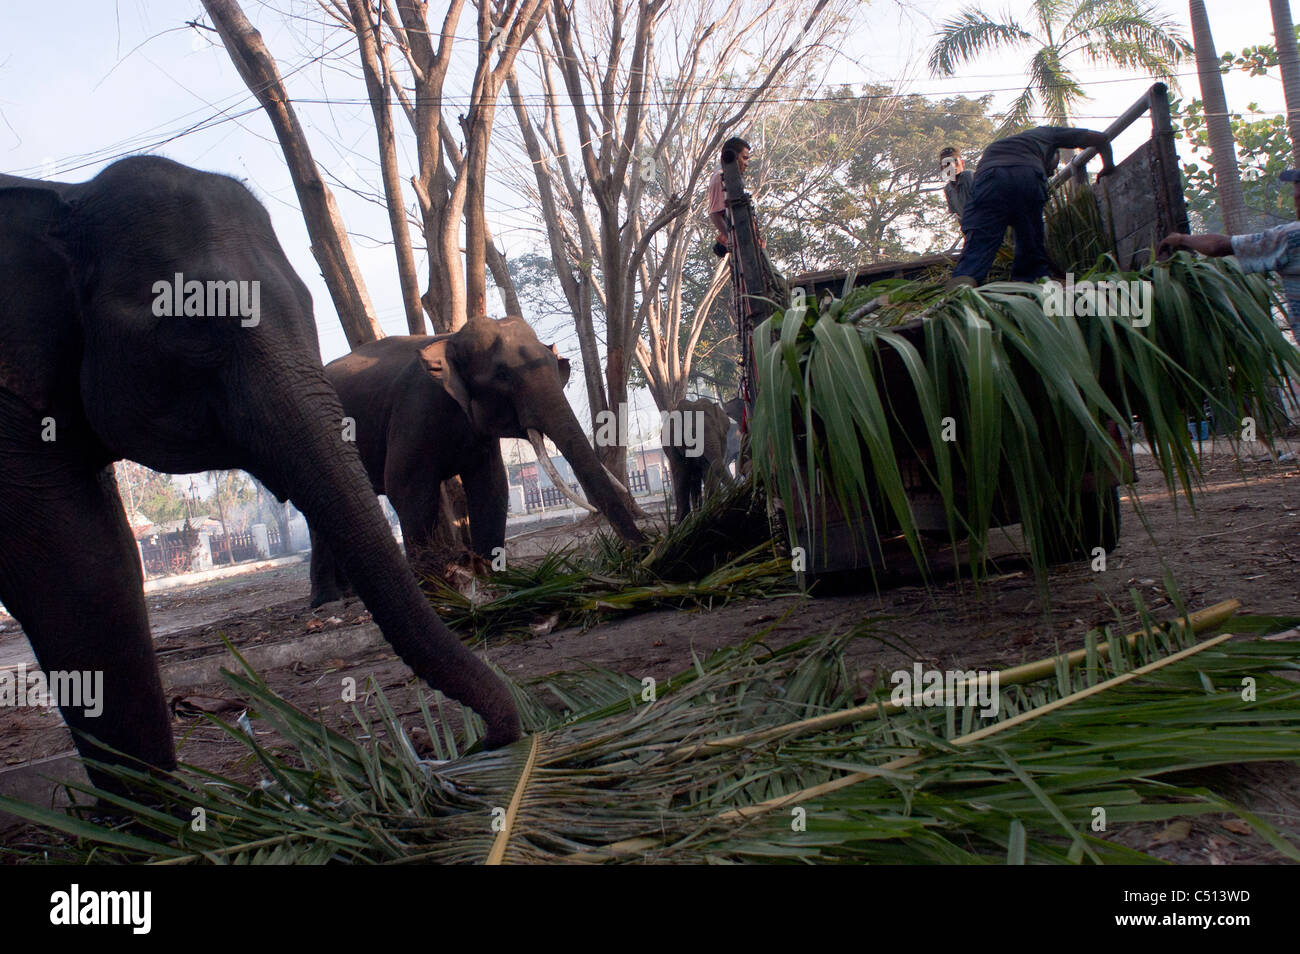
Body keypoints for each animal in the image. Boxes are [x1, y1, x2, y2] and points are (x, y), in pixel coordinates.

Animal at [308, 317, 645, 606]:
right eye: (503, 376)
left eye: (554, 367)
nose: (641, 558)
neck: (449, 339)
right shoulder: (414, 412)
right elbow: (407, 490)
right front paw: (436, 597)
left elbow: (491, 486)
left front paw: (493, 581)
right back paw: (327, 600)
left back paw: (346, 594)